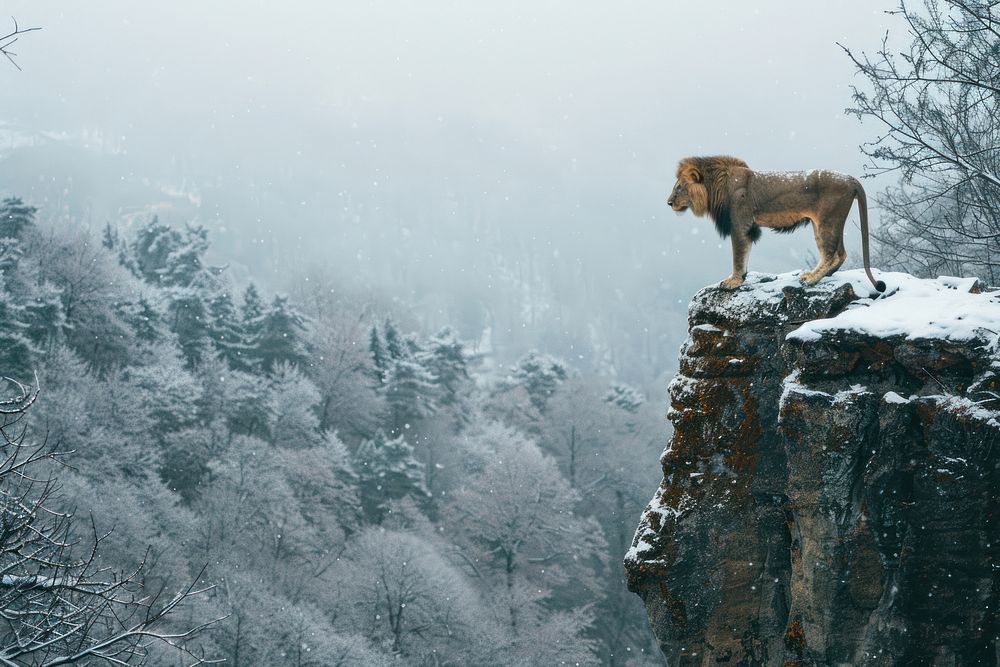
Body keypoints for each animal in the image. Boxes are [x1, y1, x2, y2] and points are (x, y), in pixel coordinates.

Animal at [667, 155, 885, 292]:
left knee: (831, 253)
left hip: (827, 222)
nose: (668, 203)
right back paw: (821, 275)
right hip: (824, 223)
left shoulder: (740, 224)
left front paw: (733, 281)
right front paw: (739, 279)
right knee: (840, 253)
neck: (716, 187)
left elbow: (738, 256)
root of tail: (851, 179)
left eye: (679, 188)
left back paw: (811, 279)